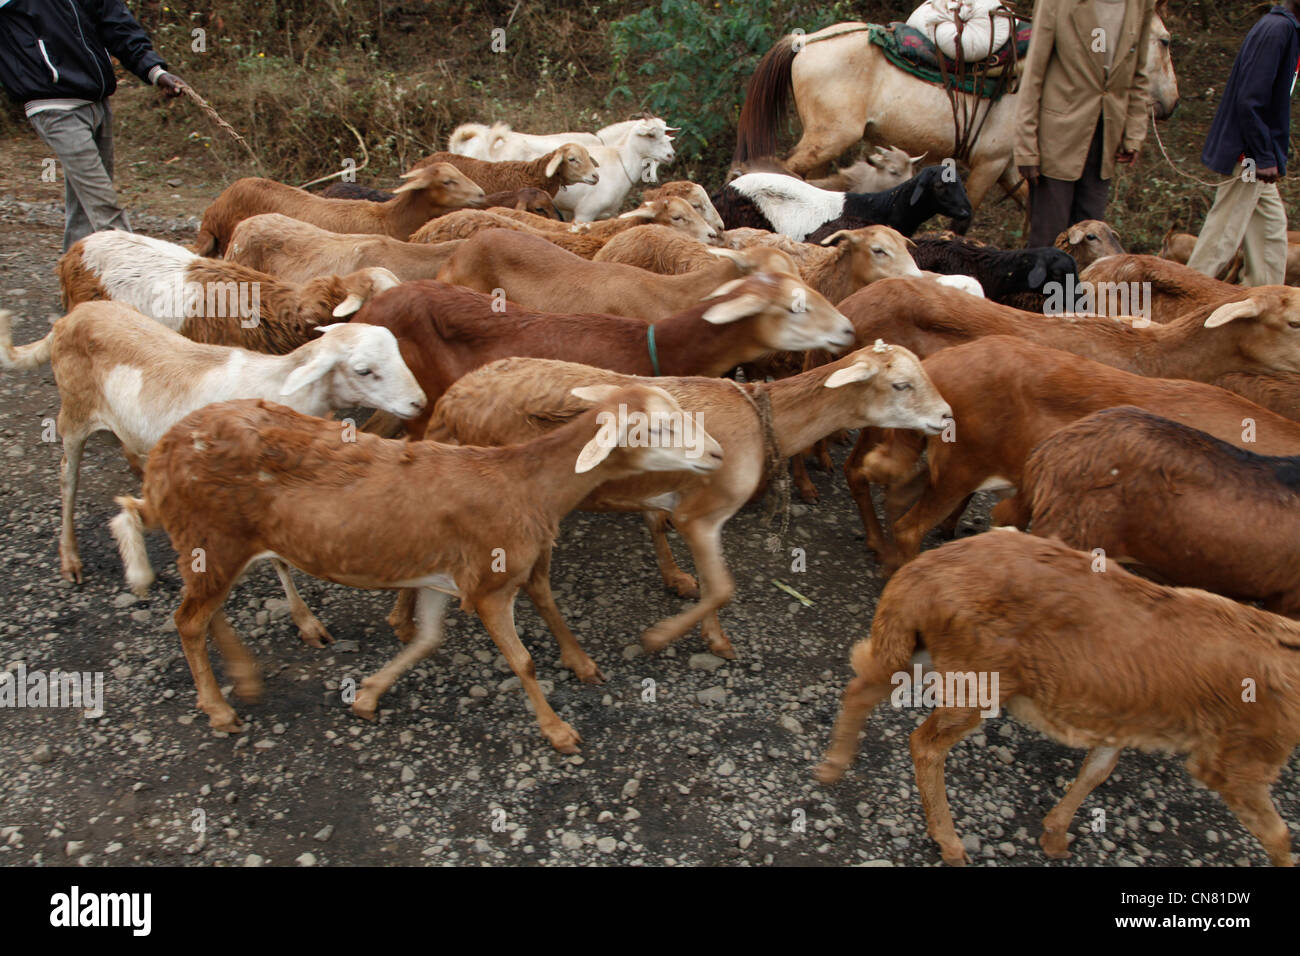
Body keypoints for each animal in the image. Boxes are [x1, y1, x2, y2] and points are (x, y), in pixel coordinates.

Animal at [0, 301, 425, 602]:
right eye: (364, 370)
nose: (419, 403)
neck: (281, 388)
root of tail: (72, 317)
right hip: (73, 416)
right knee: (67, 478)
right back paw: (71, 556)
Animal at [108, 387, 723, 752]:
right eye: (657, 430)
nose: (717, 454)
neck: (526, 484)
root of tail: (162, 456)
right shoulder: (489, 583)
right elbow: (522, 661)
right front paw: (557, 730)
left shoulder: (442, 577)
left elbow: (427, 640)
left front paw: (368, 695)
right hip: (214, 538)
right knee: (188, 621)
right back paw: (218, 709)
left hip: (210, 547)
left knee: (204, 614)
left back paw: (245, 676)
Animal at [427, 342, 951, 665]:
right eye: (901, 385)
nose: (947, 417)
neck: (764, 421)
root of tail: (453, 399)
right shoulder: (701, 514)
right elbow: (720, 588)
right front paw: (670, 637)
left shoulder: (683, 507)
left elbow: (691, 563)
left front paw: (696, 613)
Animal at [815, 530, 1300, 867]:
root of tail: (920, 572)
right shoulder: (1241, 759)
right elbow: (1278, 834)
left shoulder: (1123, 718)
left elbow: (1097, 771)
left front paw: (1055, 835)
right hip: (977, 676)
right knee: (925, 744)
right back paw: (950, 843)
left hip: (919, 647)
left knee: (862, 685)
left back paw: (833, 765)